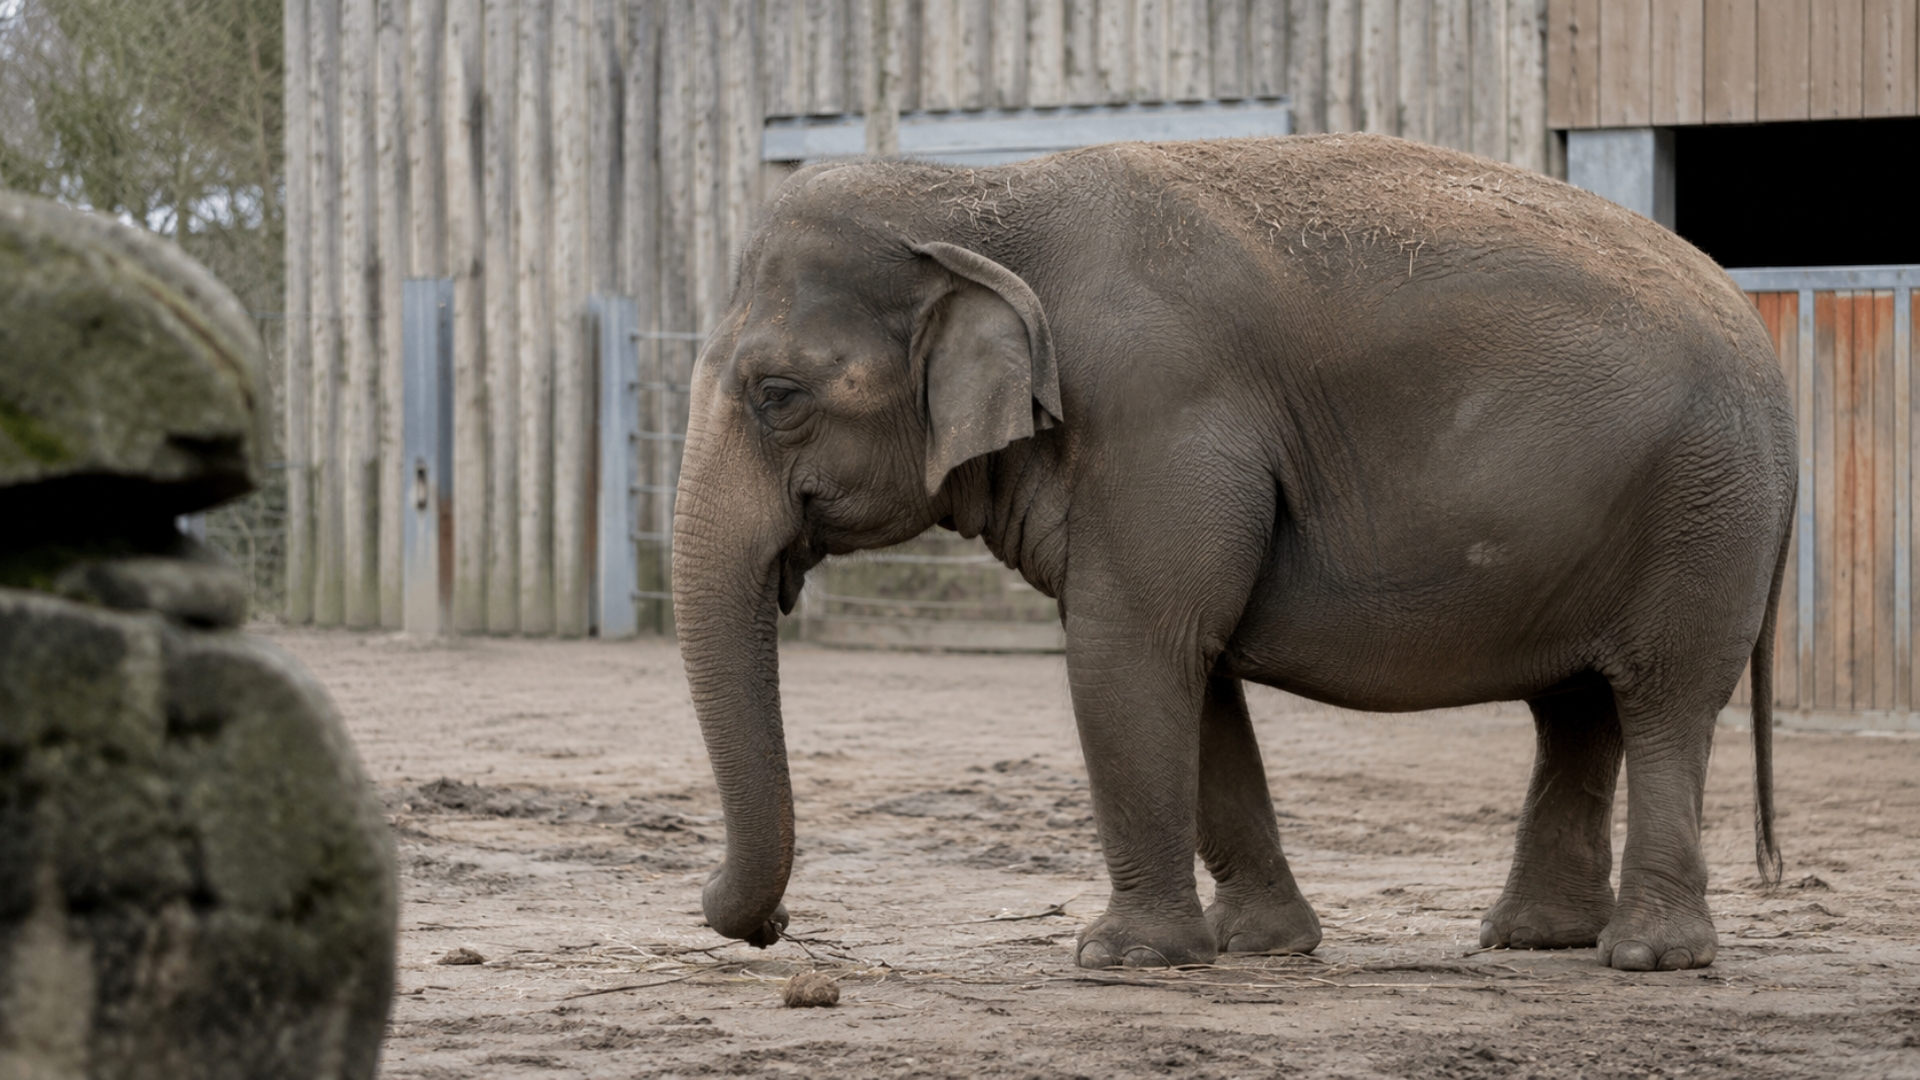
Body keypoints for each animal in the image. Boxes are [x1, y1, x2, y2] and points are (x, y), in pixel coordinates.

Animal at [670, 133, 1794, 973]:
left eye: (778, 395)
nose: (773, 927)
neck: (977, 197)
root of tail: (1762, 342)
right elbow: (1191, 669)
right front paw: (1258, 947)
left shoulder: (1158, 412)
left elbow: (1127, 652)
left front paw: (1121, 959)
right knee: (1577, 710)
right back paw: (1532, 940)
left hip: (1705, 509)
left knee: (1662, 702)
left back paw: (1648, 956)